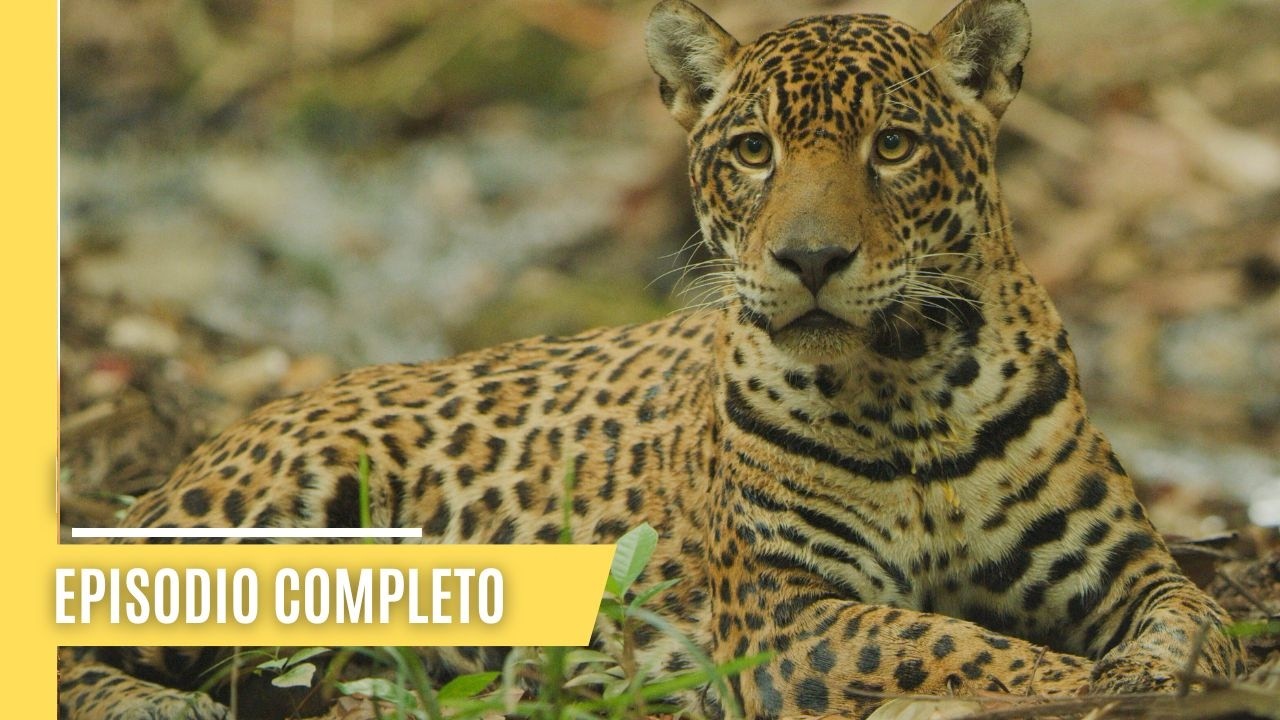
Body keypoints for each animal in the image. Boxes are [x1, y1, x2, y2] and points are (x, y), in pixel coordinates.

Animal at [59, 0, 1247, 718]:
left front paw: (1155, 672)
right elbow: (959, 645)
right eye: (754, 150)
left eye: (895, 146)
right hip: (270, 504)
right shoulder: (786, 613)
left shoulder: (1124, 565)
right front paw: (1077, 682)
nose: (810, 258)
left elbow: (1203, 621)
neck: (908, 381)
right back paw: (161, 701)